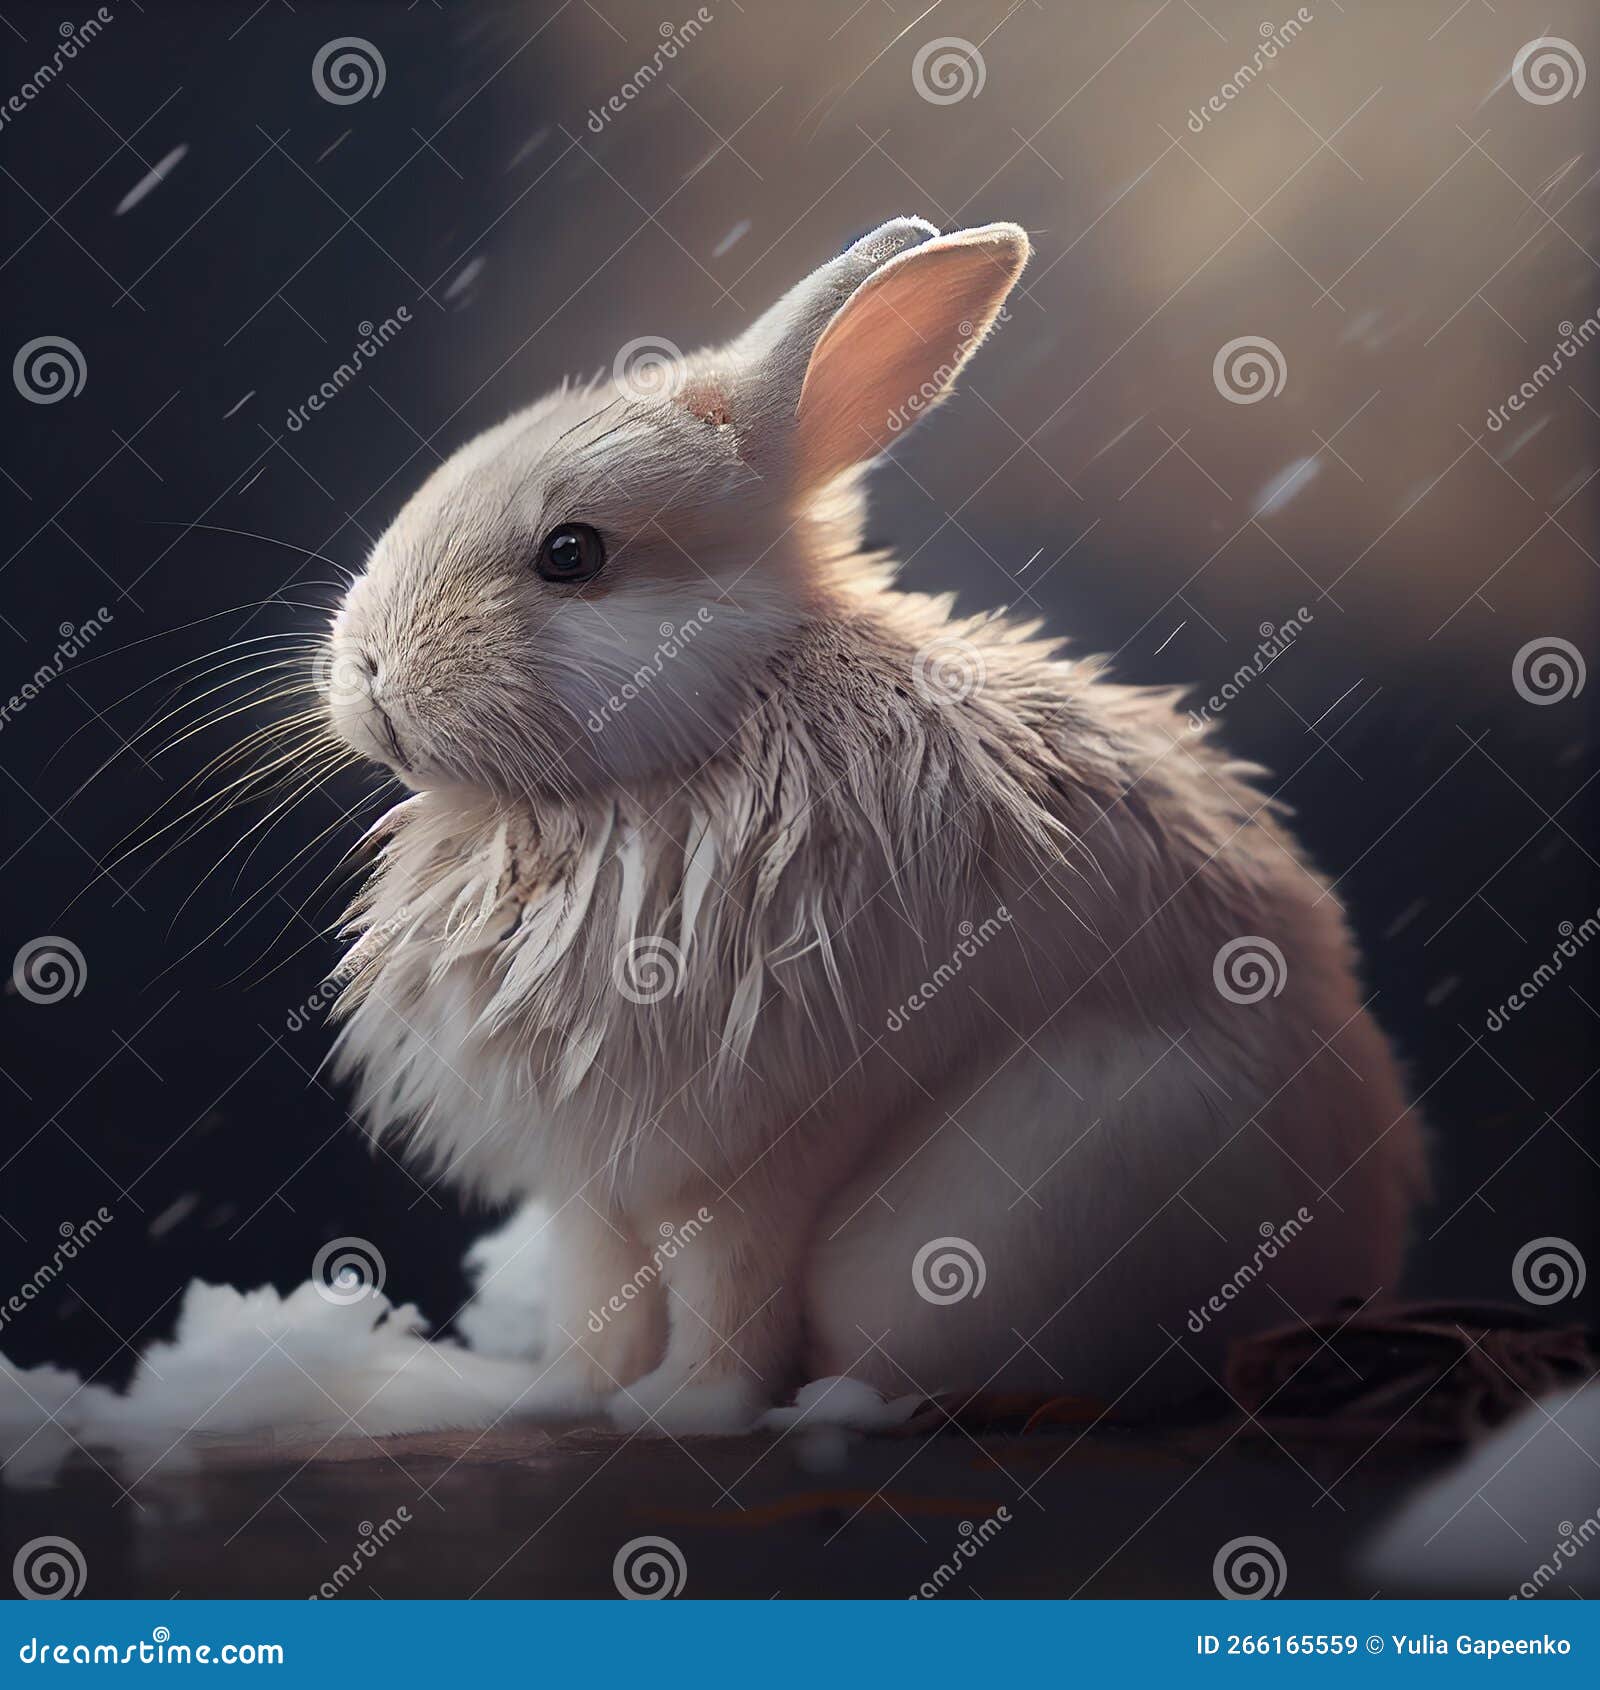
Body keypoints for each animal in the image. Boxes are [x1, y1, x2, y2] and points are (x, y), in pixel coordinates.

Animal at [321, 216, 1426, 1434]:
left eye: (573, 554)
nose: (368, 678)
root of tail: (1356, 1257)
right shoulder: (592, 1185)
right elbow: (593, 1300)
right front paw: (561, 1399)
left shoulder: (753, 1148)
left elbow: (727, 1293)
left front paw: (688, 1413)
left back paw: (841, 1412)